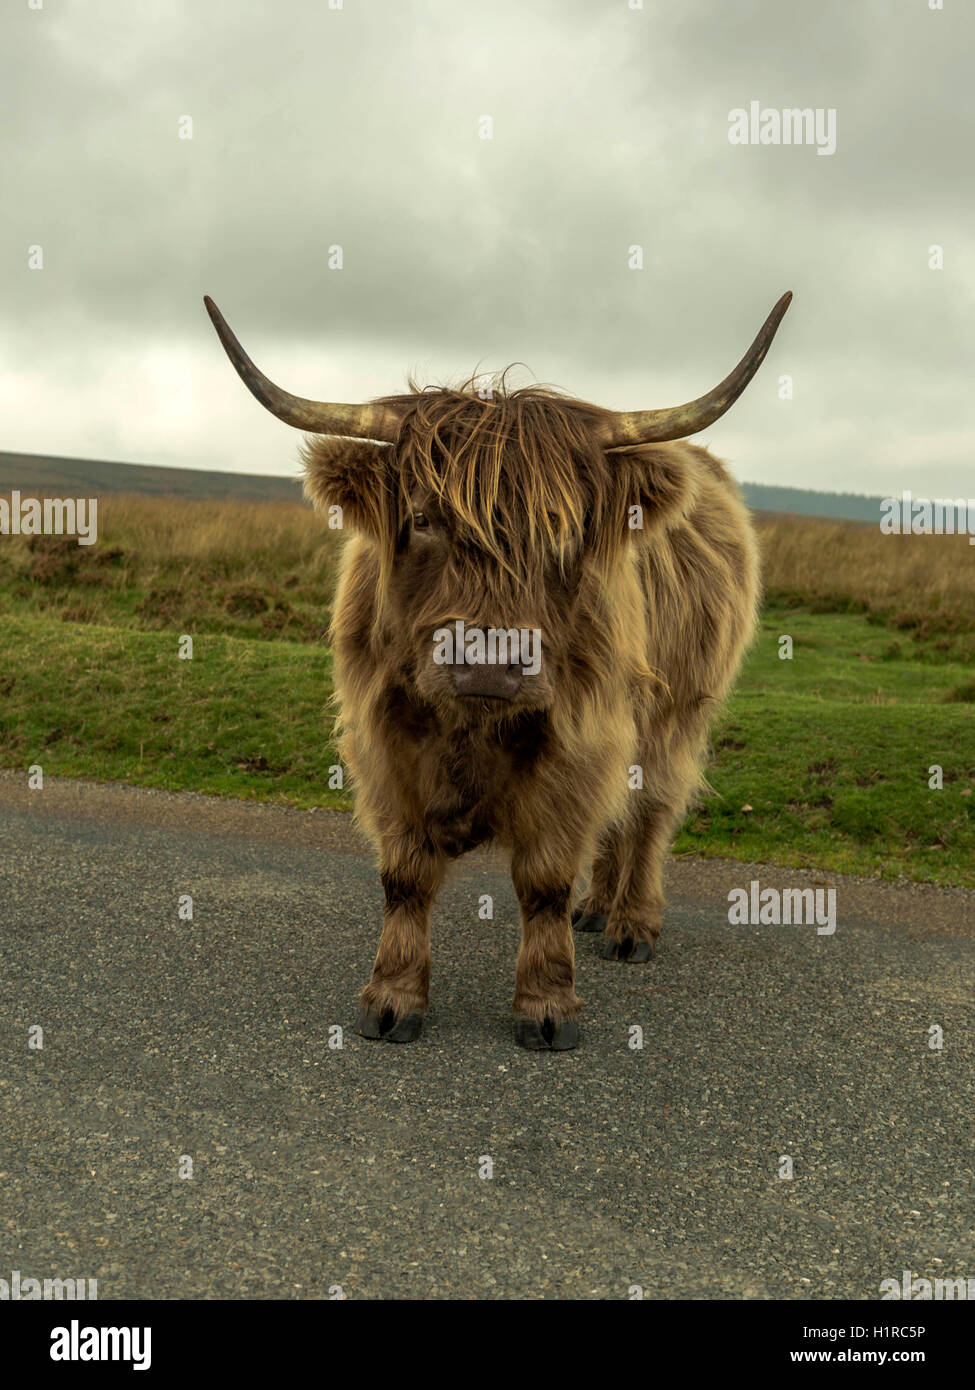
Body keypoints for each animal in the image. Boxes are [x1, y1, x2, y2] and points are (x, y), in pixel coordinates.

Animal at [205, 291, 791, 1050]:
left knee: (651, 811)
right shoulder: (384, 740)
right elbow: (404, 877)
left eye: (561, 527)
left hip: (677, 713)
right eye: (423, 518)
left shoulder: (578, 743)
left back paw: (631, 923)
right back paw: (595, 909)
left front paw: (546, 1004)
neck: (470, 727)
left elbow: (544, 879)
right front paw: (392, 998)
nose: (488, 661)